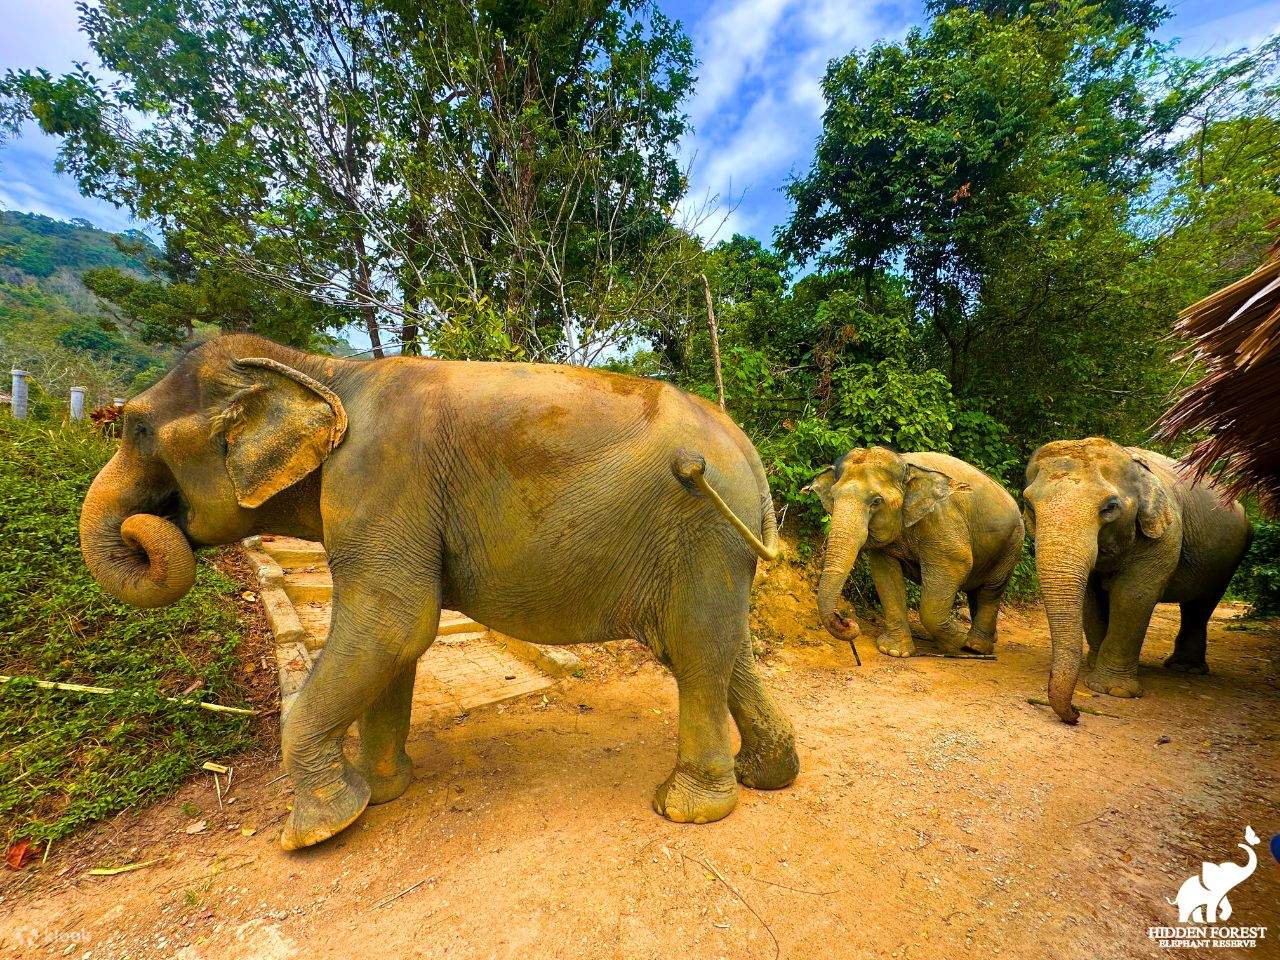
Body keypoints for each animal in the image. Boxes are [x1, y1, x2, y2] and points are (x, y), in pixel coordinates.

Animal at [78, 334, 799, 850]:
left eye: (136, 430)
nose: (146, 529)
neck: (322, 371)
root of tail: (748, 451)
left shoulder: (378, 477)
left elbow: (394, 623)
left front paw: (317, 832)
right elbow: (390, 642)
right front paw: (383, 792)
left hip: (702, 526)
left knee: (697, 652)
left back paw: (688, 809)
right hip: (712, 544)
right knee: (720, 649)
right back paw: (767, 776)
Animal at [807, 447, 1025, 659]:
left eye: (876, 501)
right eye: (832, 498)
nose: (846, 620)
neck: (905, 463)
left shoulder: (942, 518)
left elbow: (956, 564)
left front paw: (958, 641)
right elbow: (886, 576)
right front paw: (894, 651)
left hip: (1012, 544)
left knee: (991, 590)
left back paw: (975, 647)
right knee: (977, 591)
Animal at [1023, 438, 1251, 723]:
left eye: (1110, 507)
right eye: (1029, 505)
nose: (1076, 712)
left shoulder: (1165, 537)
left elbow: (1132, 596)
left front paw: (1113, 690)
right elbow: (1090, 599)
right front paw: (1093, 666)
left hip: (1228, 561)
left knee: (1200, 606)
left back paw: (1185, 668)